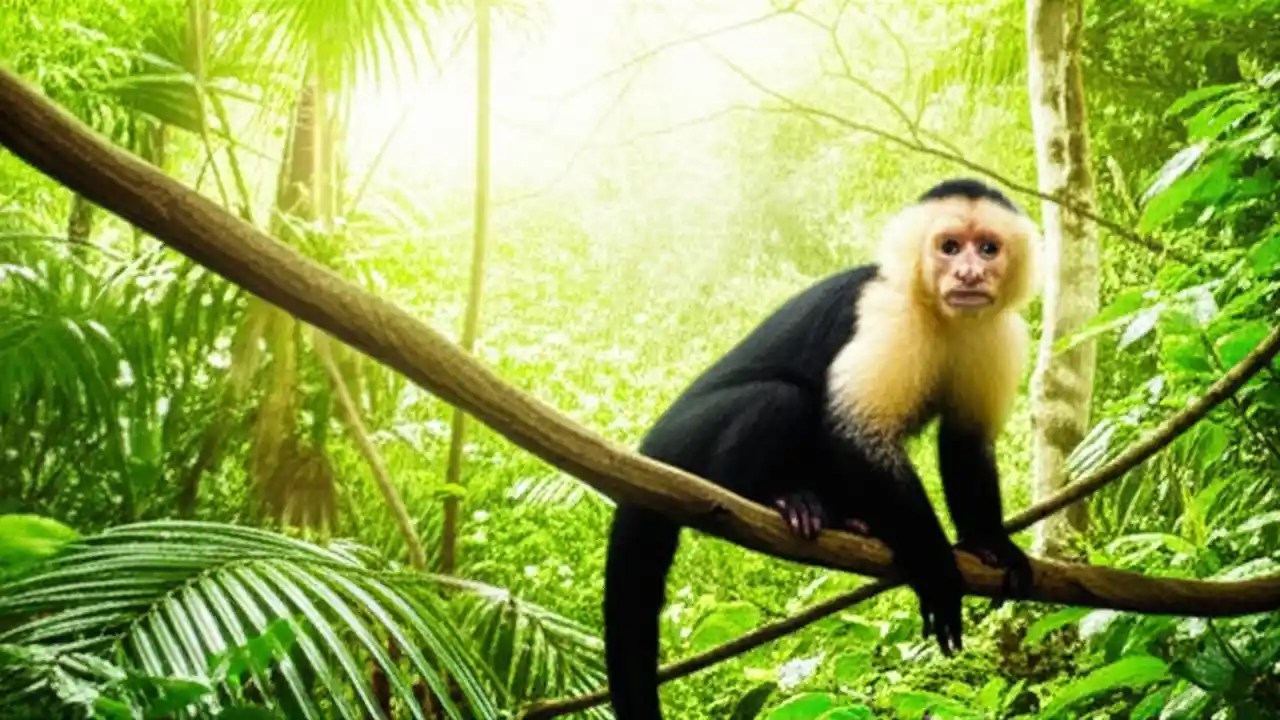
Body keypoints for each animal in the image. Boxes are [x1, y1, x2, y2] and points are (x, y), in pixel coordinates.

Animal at [602, 178, 1039, 720]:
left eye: (988, 249)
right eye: (950, 247)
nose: (969, 273)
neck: (939, 314)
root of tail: (648, 454)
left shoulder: (995, 333)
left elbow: (966, 441)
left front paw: (989, 543)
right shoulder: (887, 314)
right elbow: (856, 432)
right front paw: (937, 566)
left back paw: (849, 518)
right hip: (686, 439)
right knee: (781, 398)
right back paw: (778, 498)